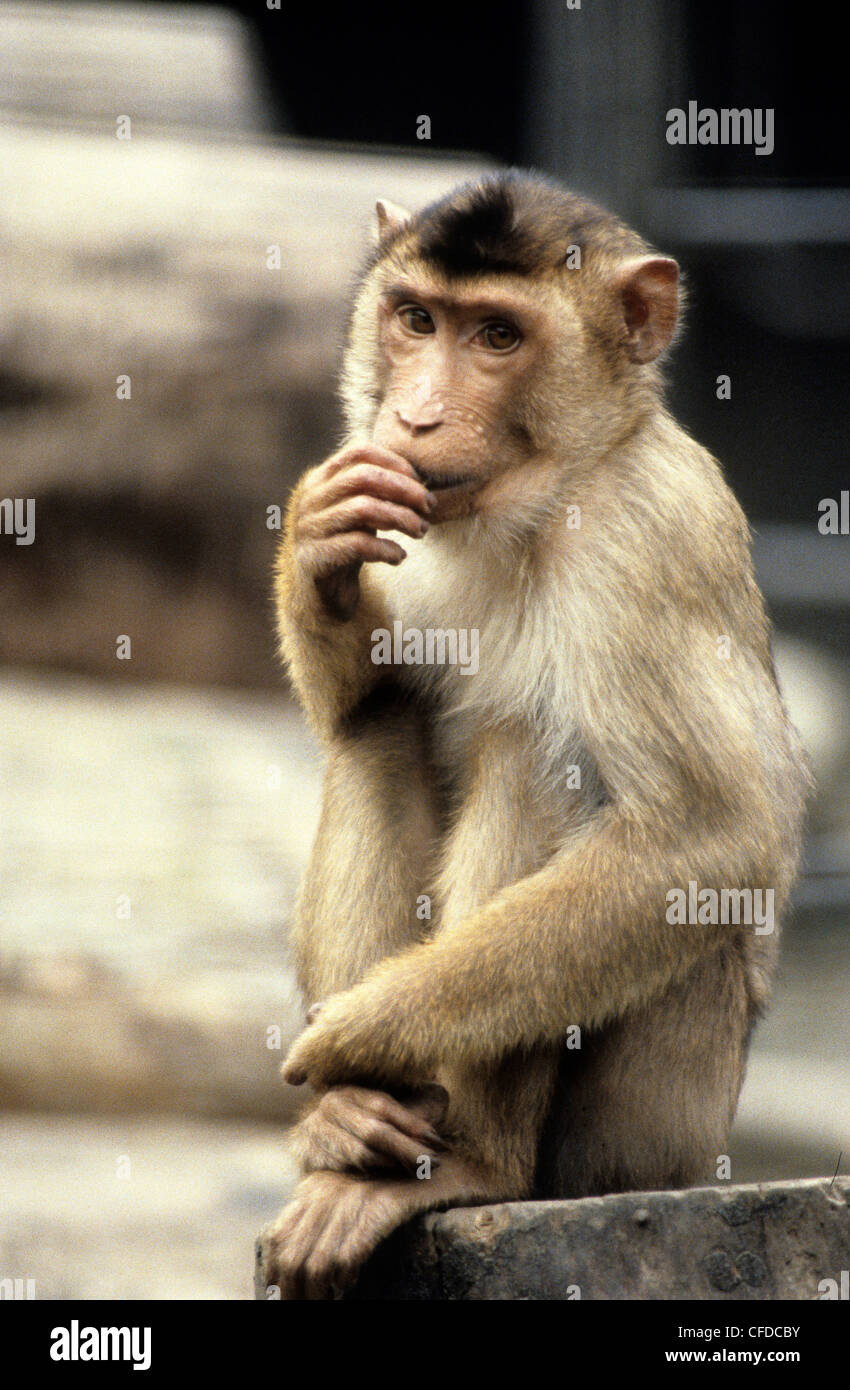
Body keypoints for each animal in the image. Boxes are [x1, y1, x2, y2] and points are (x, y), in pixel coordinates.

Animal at [263, 171, 810, 1299]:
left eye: (498, 338)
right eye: (417, 319)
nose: (415, 414)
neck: (545, 492)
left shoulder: (650, 537)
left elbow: (714, 836)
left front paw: (364, 1028)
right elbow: (365, 695)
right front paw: (316, 545)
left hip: (657, 1125)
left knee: (537, 757)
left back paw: (472, 1160)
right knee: (378, 730)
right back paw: (350, 1129)